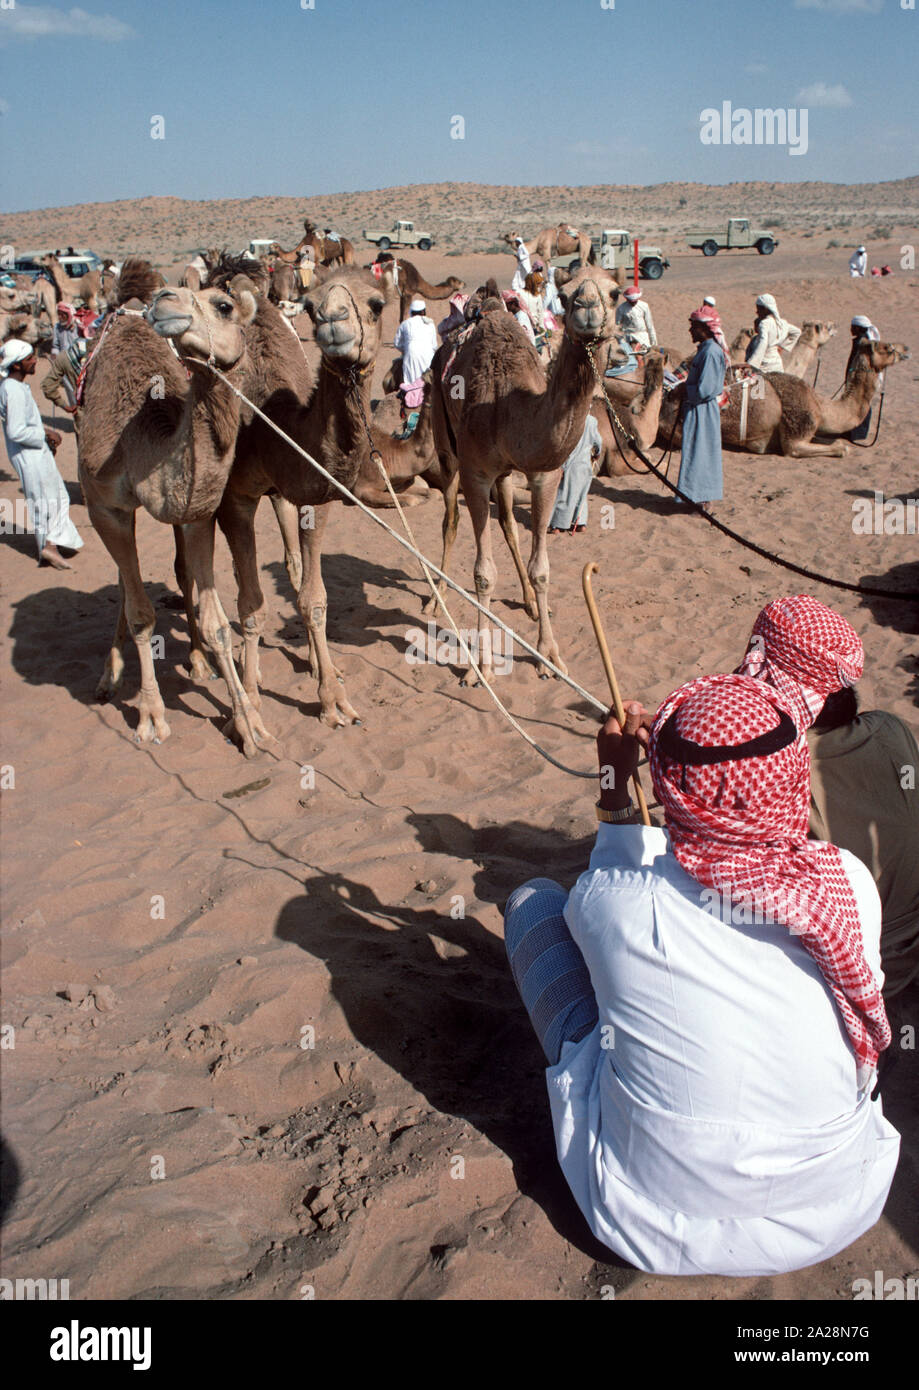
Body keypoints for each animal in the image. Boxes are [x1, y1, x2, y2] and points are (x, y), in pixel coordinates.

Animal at [77, 259, 268, 753]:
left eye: (223, 305)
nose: (164, 300)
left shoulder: (197, 513)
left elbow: (217, 621)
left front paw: (248, 724)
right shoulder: (105, 507)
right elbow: (142, 614)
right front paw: (151, 717)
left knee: (177, 576)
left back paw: (198, 662)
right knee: (125, 585)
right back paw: (109, 676)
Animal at [206, 260, 391, 731]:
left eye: (377, 303)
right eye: (310, 306)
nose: (332, 320)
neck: (269, 418)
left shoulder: (313, 495)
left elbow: (315, 598)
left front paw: (333, 699)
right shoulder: (236, 498)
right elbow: (251, 605)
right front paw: (251, 704)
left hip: (280, 495)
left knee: (289, 564)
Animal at [427, 265, 622, 683]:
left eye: (615, 292)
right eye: (563, 296)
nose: (586, 308)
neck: (508, 407)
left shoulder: (544, 475)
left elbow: (541, 569)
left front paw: (549, 654)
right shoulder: (476, 473)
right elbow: (483, 573)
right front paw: (480, 666)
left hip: (503, 475)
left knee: (509, 527)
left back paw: (533, 604)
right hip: (444, 443)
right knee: (449, 519)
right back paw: (437, 598)